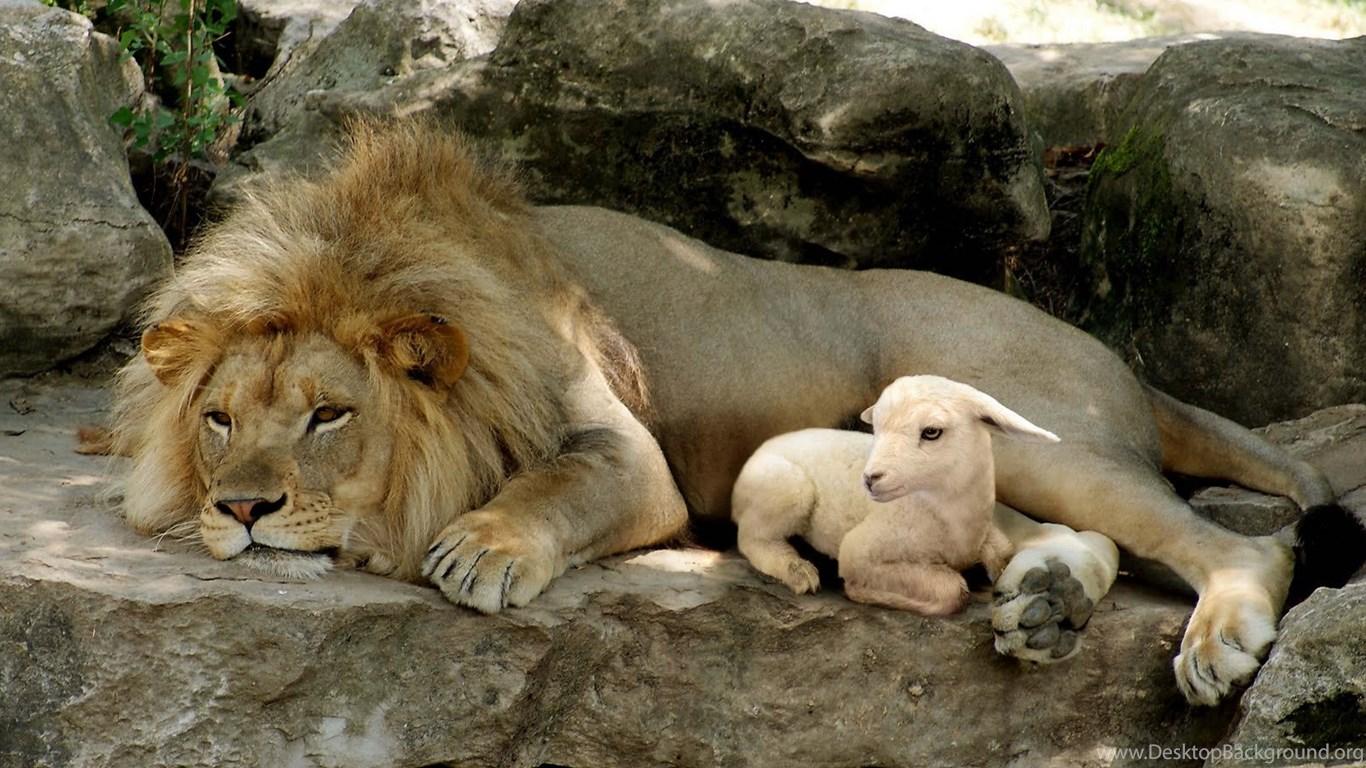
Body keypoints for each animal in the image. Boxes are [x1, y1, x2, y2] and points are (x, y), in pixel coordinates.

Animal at [731, 375, 1061, 615]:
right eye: (875, 428)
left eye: (931, 432)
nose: (870, 479)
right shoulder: (857, 550)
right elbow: (953, 591)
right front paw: (863, 592)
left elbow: (1003, 553)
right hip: (788, 489)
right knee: (751, 539)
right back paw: (798, 571)